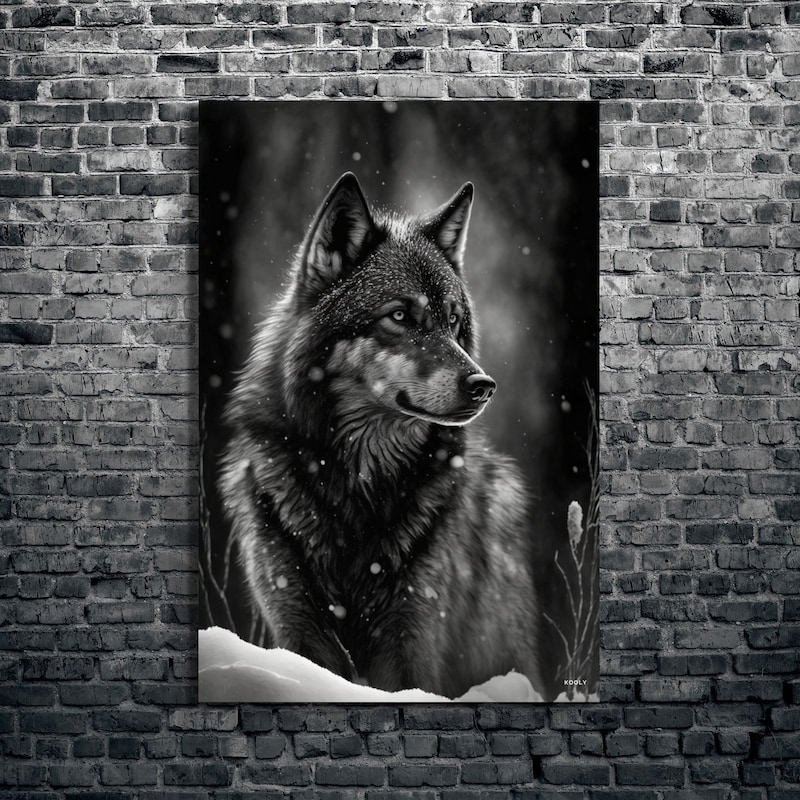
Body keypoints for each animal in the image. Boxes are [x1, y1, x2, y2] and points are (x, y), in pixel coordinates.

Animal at [218, 172, 541, 698]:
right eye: (400, 316)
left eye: (454, 320)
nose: (483, 385)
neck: (358, 485)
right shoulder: (297, 629)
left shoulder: (413, 640)